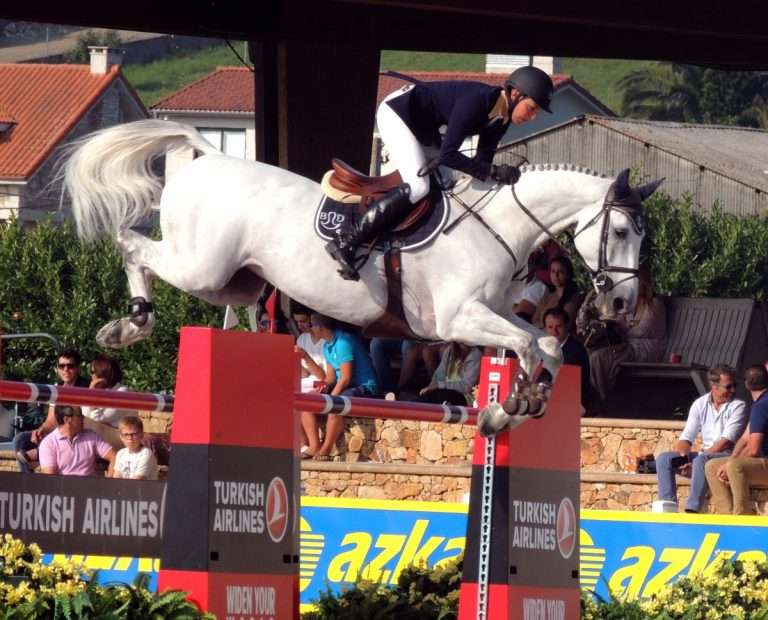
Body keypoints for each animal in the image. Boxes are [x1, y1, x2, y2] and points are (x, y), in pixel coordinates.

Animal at [62, 120, 662, 398]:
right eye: (621, 231)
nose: (623, 303)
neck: (500, 226)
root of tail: (207, 154)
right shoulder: (458, 319)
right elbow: (526, 343)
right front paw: (519, 395)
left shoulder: (491, 312)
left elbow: (545, 342)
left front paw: (532, 394)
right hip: (200, 265)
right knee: (131, 243)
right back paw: (128, 326)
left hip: (232, 280)